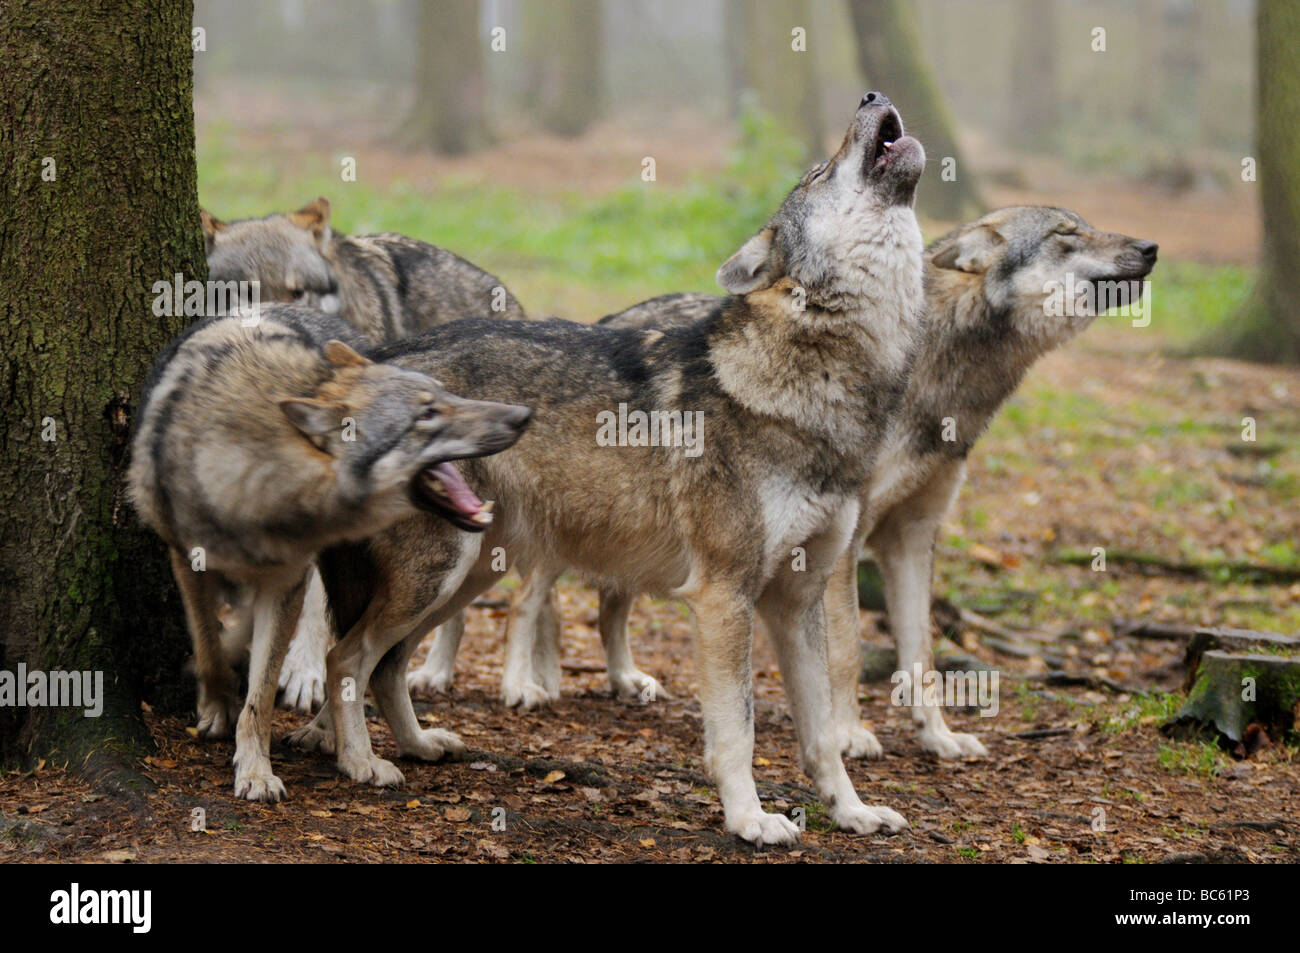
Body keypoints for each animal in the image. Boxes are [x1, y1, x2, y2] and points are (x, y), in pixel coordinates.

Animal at [127, 306, 530, 801]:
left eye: (443, 395)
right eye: (427, 414)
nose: (522, 414)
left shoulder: (287, 582)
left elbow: (261, 697)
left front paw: (255, 769)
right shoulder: (187, 561)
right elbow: (207, 645)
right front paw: (217, 705)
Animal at [287, 92, 926, 846]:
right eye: (820, 172)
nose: (871, 96)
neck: (824, 372)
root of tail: (377, 360)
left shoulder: (797, 599)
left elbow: (824, 732)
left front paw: (852, 812)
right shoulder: (723, 596)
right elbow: (737, 729)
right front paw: (749, 819)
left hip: (469, 572)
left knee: (386, 665)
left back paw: (418, 746)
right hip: (437, 572)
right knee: (348, 657)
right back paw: (361, 763)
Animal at [480, 205, 1158, 761]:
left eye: (1086, 226)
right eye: (1067, 234)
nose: (1151, 247)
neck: (944, 379)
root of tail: (617, 315)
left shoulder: (913, 537)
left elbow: (921, 654)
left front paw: (937, 738)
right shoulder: (846, 541)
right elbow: (848, 652)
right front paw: (849, 735)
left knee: (607, 603)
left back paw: (623, 679)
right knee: (529, 599)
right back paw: (523, 684)